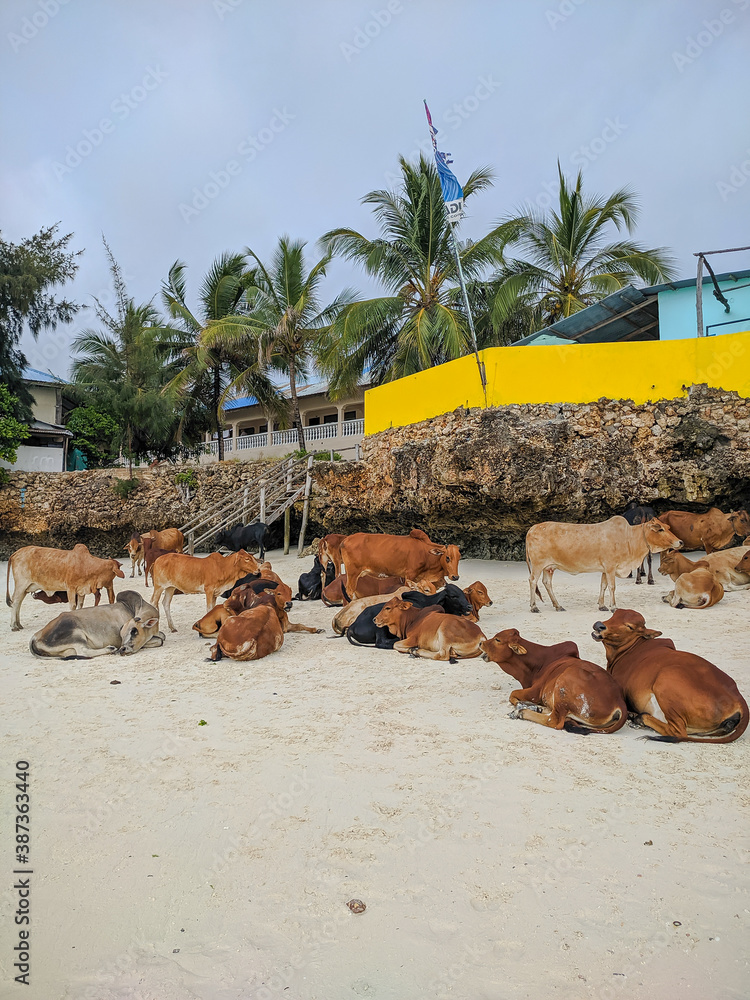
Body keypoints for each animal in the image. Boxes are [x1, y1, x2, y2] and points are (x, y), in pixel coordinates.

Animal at [29, 591, 164, 659]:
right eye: (122, 633)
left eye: (134, 631)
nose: (122, 649)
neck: (131, 607)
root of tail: (35, 636)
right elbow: (160, 640)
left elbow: (162, 637)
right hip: (77, 636)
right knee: (84, 651)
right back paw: (110, 648)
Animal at [479, 629, 627, 734]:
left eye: (498, 639)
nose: (481, 643)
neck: (539, 663)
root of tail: (619, 701)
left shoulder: (535, 692)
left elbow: (512, 695)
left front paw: (523, 705)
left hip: (565, 680)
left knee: (554, 720)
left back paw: (523, 712)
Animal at [525, 516, 682, 613]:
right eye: (660, 529)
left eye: (667, 527)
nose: (680, 542)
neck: (629, 538)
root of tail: (532, 528)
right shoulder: (611, 567)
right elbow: (612, 587)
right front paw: (614, 606)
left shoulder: (605, 569)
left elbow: (603, 586)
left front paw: (602, 605)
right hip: (538, 565)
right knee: (532, 581)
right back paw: (533, 607)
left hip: (549, 567)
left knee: (547, 583)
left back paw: (558, 605)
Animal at [592, 609, 749, 743]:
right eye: (614, 613)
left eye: (629, 626)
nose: (599, 625)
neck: (633, 648)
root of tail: (738, 698)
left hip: (666, 679)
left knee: (678, 732)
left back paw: (640, 718)